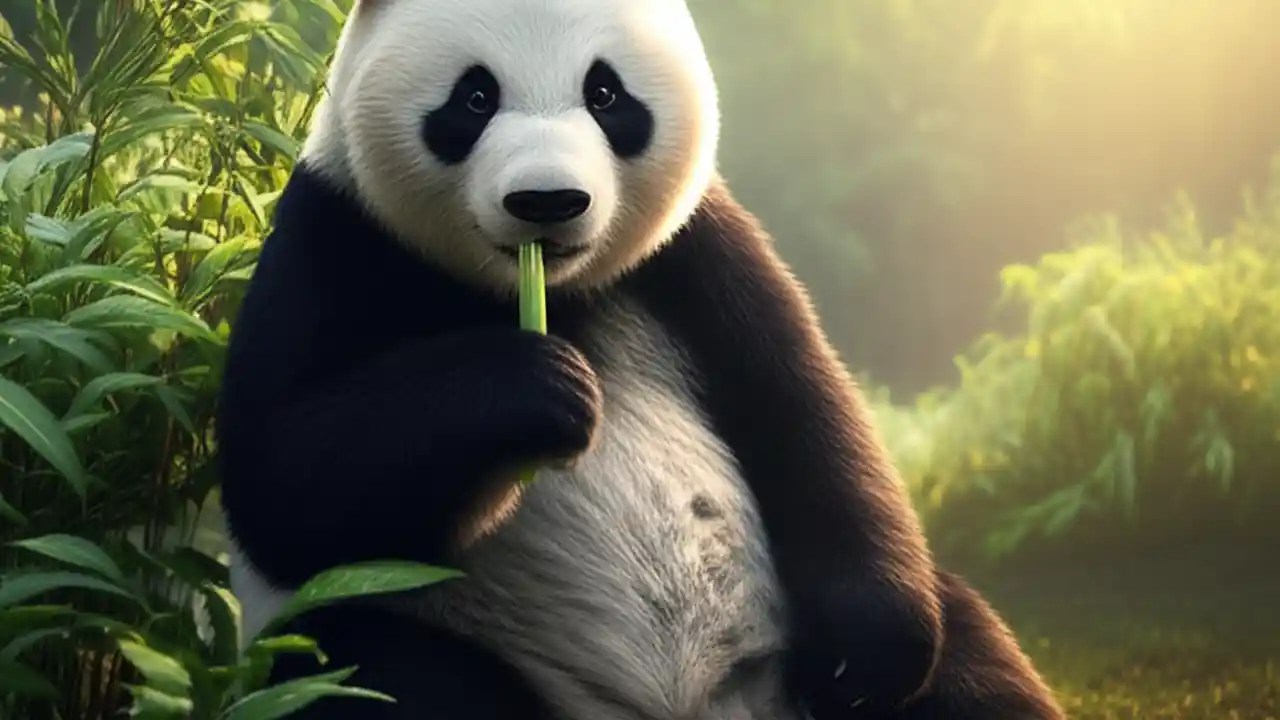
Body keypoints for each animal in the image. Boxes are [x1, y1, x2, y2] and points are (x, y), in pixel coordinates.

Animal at [216, 0, 1066, 718]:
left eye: (605, 93)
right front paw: (534, 389)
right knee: (385, 674)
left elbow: (803, 411)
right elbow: (279, 483)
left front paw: (861, 663)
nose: (547, 201)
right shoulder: (335, 232)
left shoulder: (693, 250)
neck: (546, 290)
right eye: (474, 98)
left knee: (973, 663)